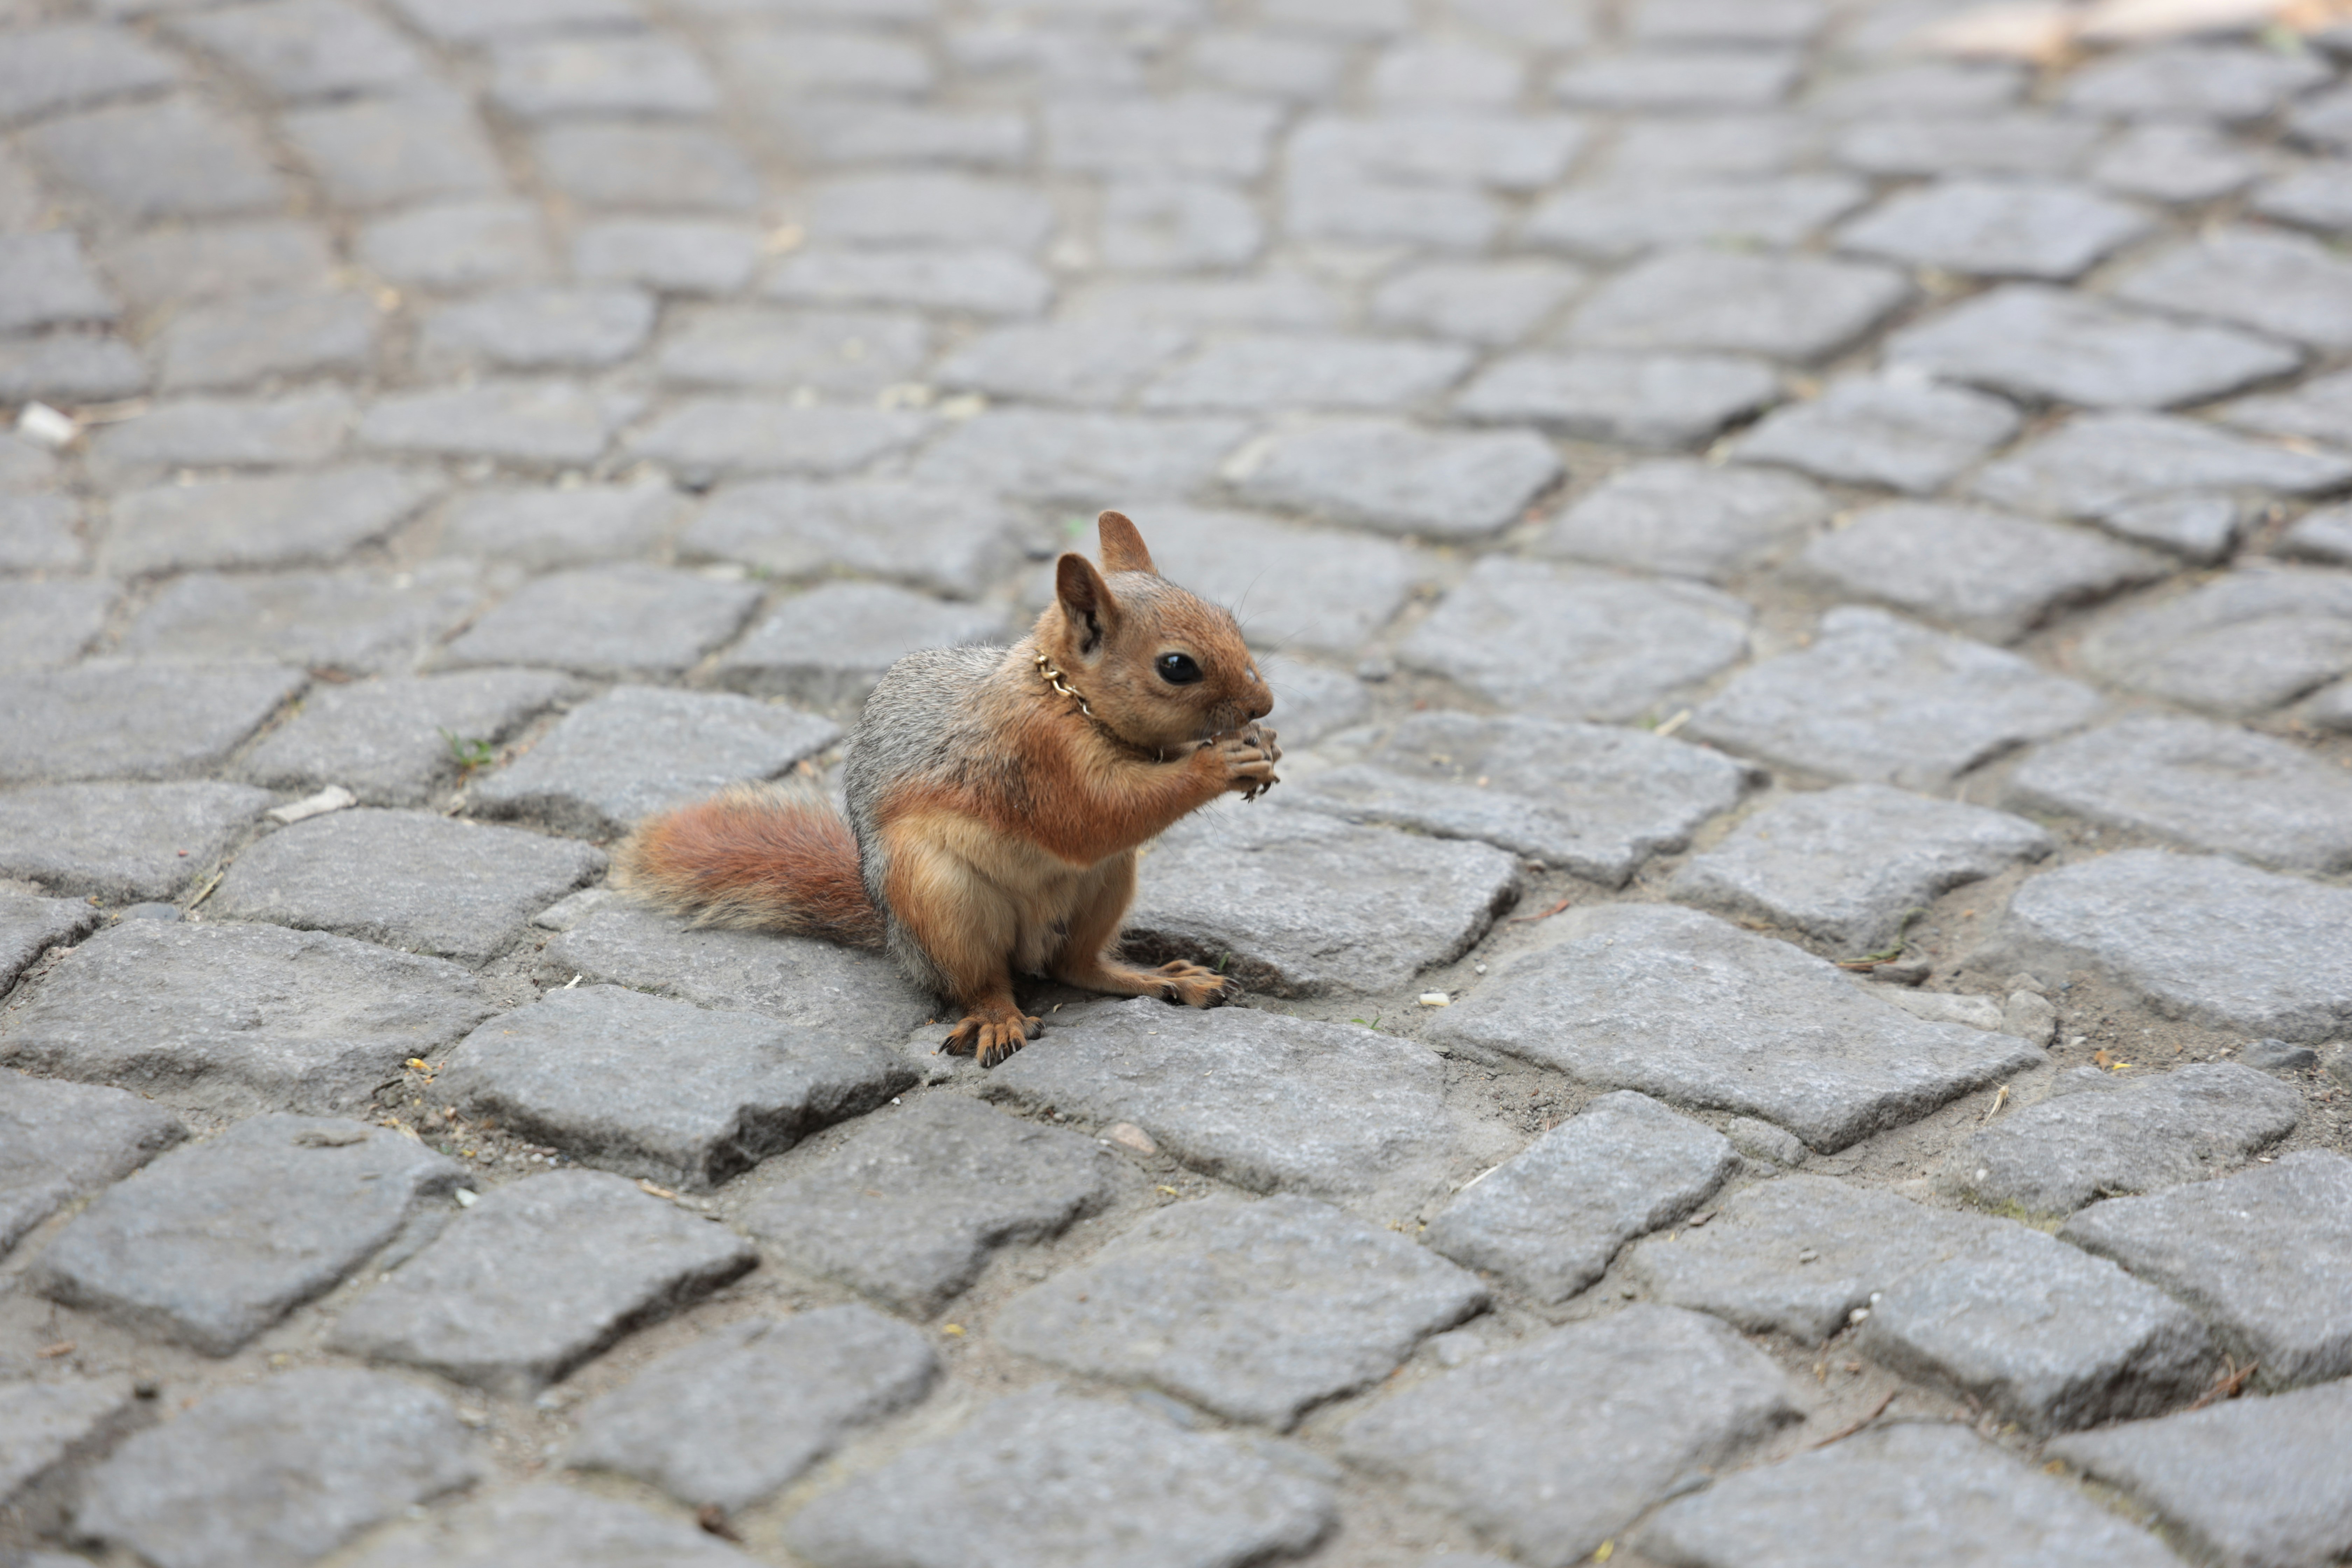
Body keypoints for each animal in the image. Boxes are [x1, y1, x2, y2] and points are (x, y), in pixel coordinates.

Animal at [611, 510, 1281, 1068]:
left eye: (1227, 619)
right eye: (1177, 666)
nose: (1265, 703)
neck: (1069, 699)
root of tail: (896, 938)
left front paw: (1264, 749)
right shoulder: (1036, 761)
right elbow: (1097, 816)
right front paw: (1221, 764)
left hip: (1107, 884)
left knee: (1075, 965)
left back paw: (1157, 979)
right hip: (944, 901)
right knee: (981, 982)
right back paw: (997, 1019)